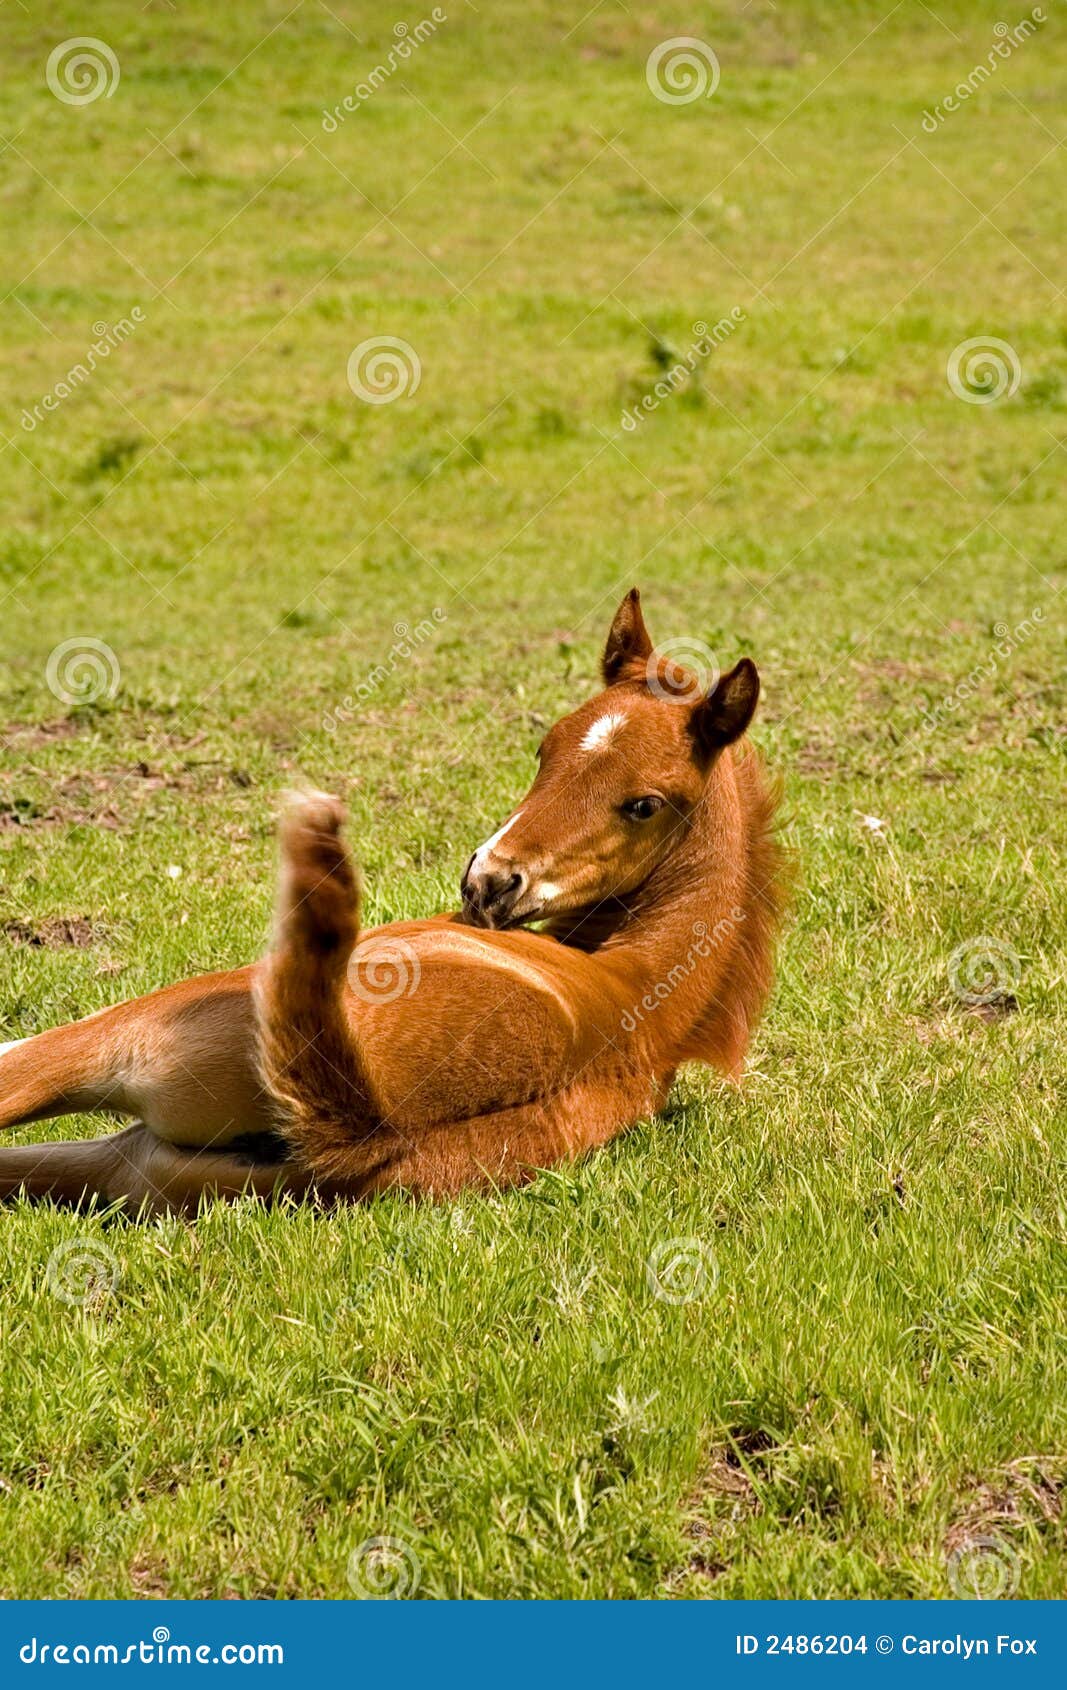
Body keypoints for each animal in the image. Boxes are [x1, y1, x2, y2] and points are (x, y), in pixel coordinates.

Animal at [0, 590, 786, 1214]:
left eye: (644, 804)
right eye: (546, 748)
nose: (489, 882)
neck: (644, 993)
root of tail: (369, 1115)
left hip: (134, 1038)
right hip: (130, 1166)